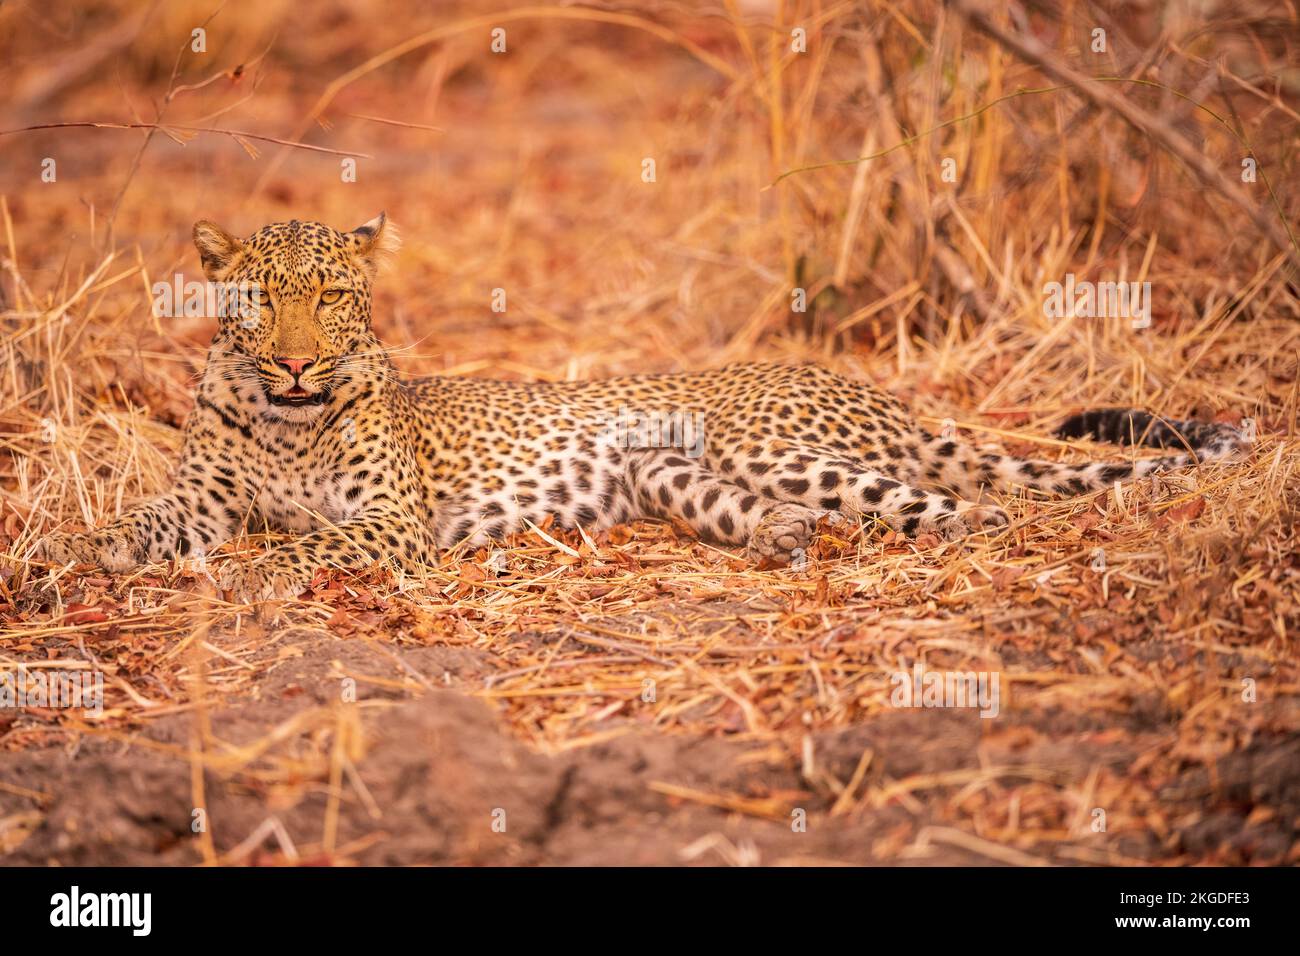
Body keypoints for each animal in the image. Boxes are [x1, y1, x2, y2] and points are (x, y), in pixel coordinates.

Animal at [34, 215, 1251, 602]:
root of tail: (876, 391)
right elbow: (141, 522)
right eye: (260, 300)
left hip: (778, 444)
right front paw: (73, 560)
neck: (285, 422)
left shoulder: (390, 521)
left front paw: (249, 570)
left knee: (979, 510)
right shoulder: (200, 496)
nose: (293, 362)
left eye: (329, 297)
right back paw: (785, 545)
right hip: (674, 472)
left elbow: (303, 541)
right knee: (799, 517)